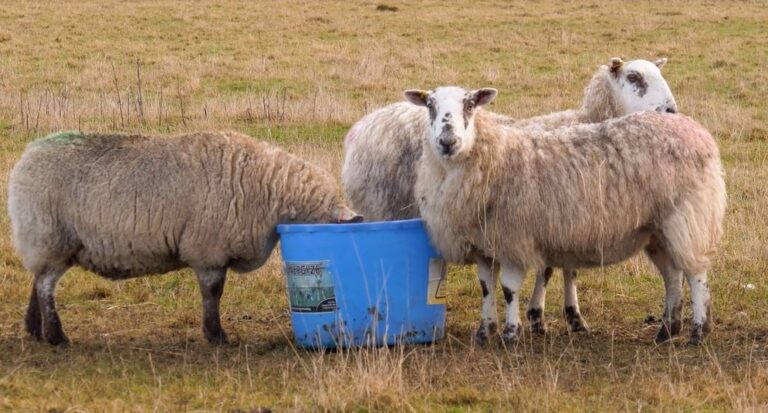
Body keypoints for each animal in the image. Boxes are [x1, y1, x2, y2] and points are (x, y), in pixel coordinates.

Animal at [8, 130, 362, 346]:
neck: (271, 189)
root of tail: (27, 157)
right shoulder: (208, 250)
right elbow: (213, 294)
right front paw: (216, 335)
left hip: (48, 244)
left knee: (37, 281)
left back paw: (35, 329)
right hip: (49, 237)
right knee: (46, 286)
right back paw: (56, 336)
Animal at [342, 57, 677, 334]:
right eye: (633, 77)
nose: (671, 110)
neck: (582, 121)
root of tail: (363, 127)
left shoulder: (566, 218)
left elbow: (558, 268)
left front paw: (554, 316)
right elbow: (555, 269)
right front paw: (552, 316)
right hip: (383, 208)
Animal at [405, 86, 725, 346]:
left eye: (470, 104)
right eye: (430, 105)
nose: (447, 141)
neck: (492, 155)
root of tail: (699, 133)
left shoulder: (513, 240)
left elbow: (508, 289)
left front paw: (510, 334)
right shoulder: (483, 245)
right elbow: (486, 288)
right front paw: (485, 332)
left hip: (685, 217)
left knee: (696, 274)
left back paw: (698, 332)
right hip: (656, 229)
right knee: (672, 276)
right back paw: (666, 330)